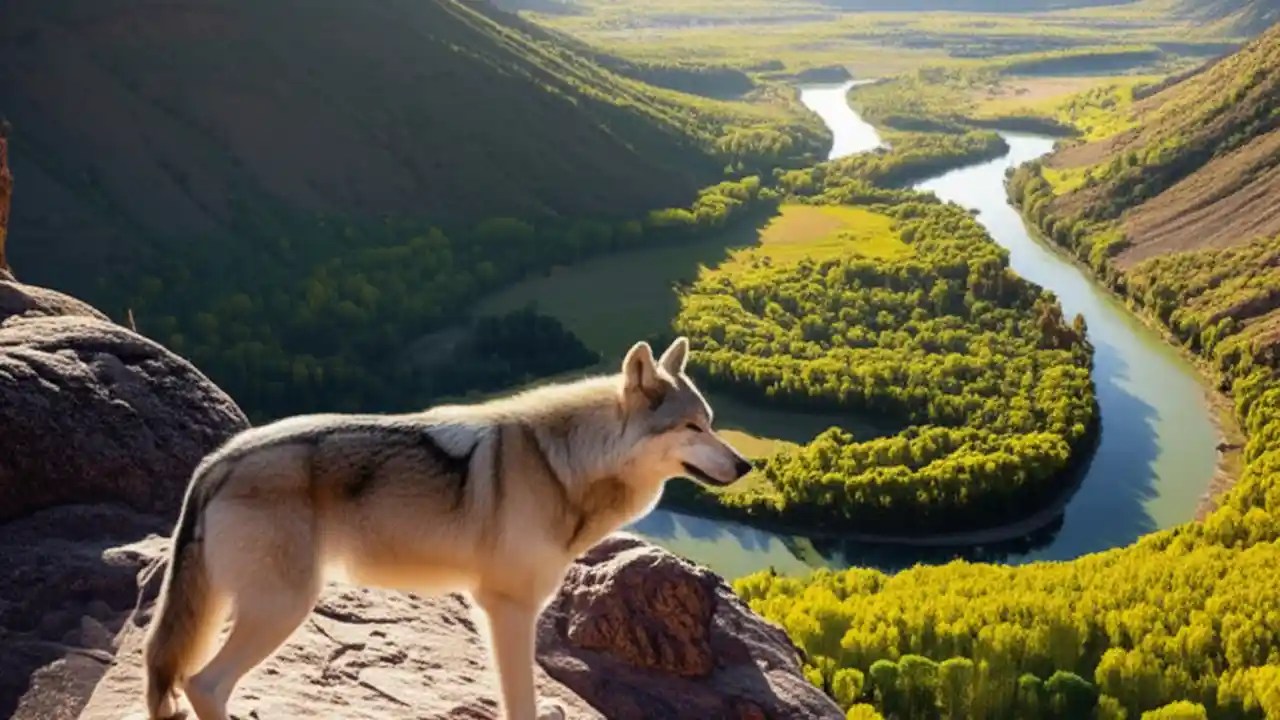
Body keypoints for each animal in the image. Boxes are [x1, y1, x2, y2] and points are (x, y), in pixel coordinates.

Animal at [142, 336, 752, 720]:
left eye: (712, 423)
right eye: (692, 427)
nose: (746, 466)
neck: (562, 465)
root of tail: (217, 460)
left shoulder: (498, 610)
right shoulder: (508, 608)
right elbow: (521, 698)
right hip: (283, 608)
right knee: (203, 684)